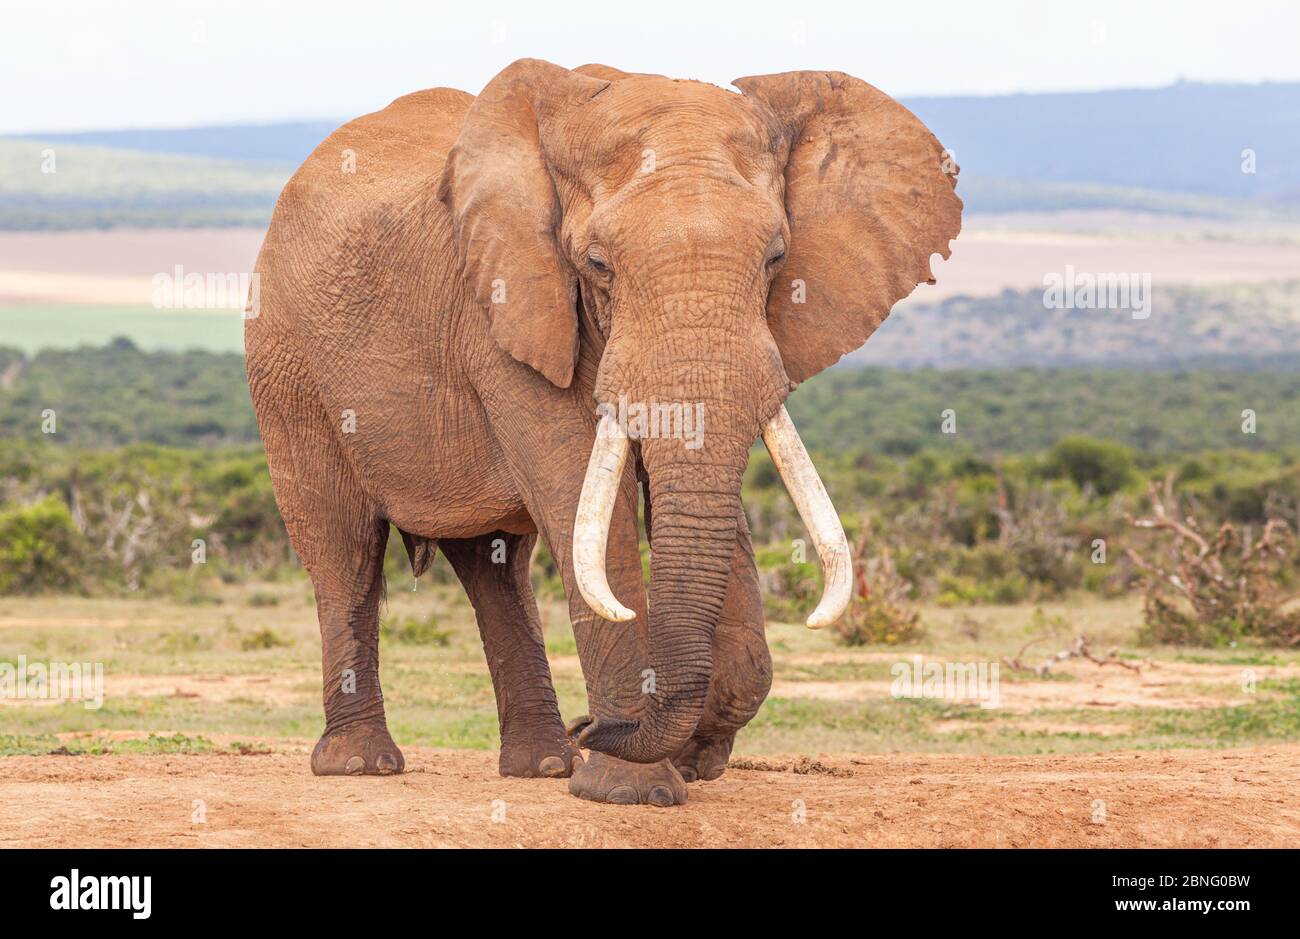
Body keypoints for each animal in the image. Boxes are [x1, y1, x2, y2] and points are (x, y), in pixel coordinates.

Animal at [245, 59, 960, 806]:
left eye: (776, 258)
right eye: (597, 265)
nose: (592, 725)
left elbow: (714, 516)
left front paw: (689, 758)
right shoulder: (505, 312)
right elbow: (586, 509)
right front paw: (631, 790)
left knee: (494, 563)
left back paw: (545, 764)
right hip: (287, 365)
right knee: (344, 550)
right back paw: (361, 764)